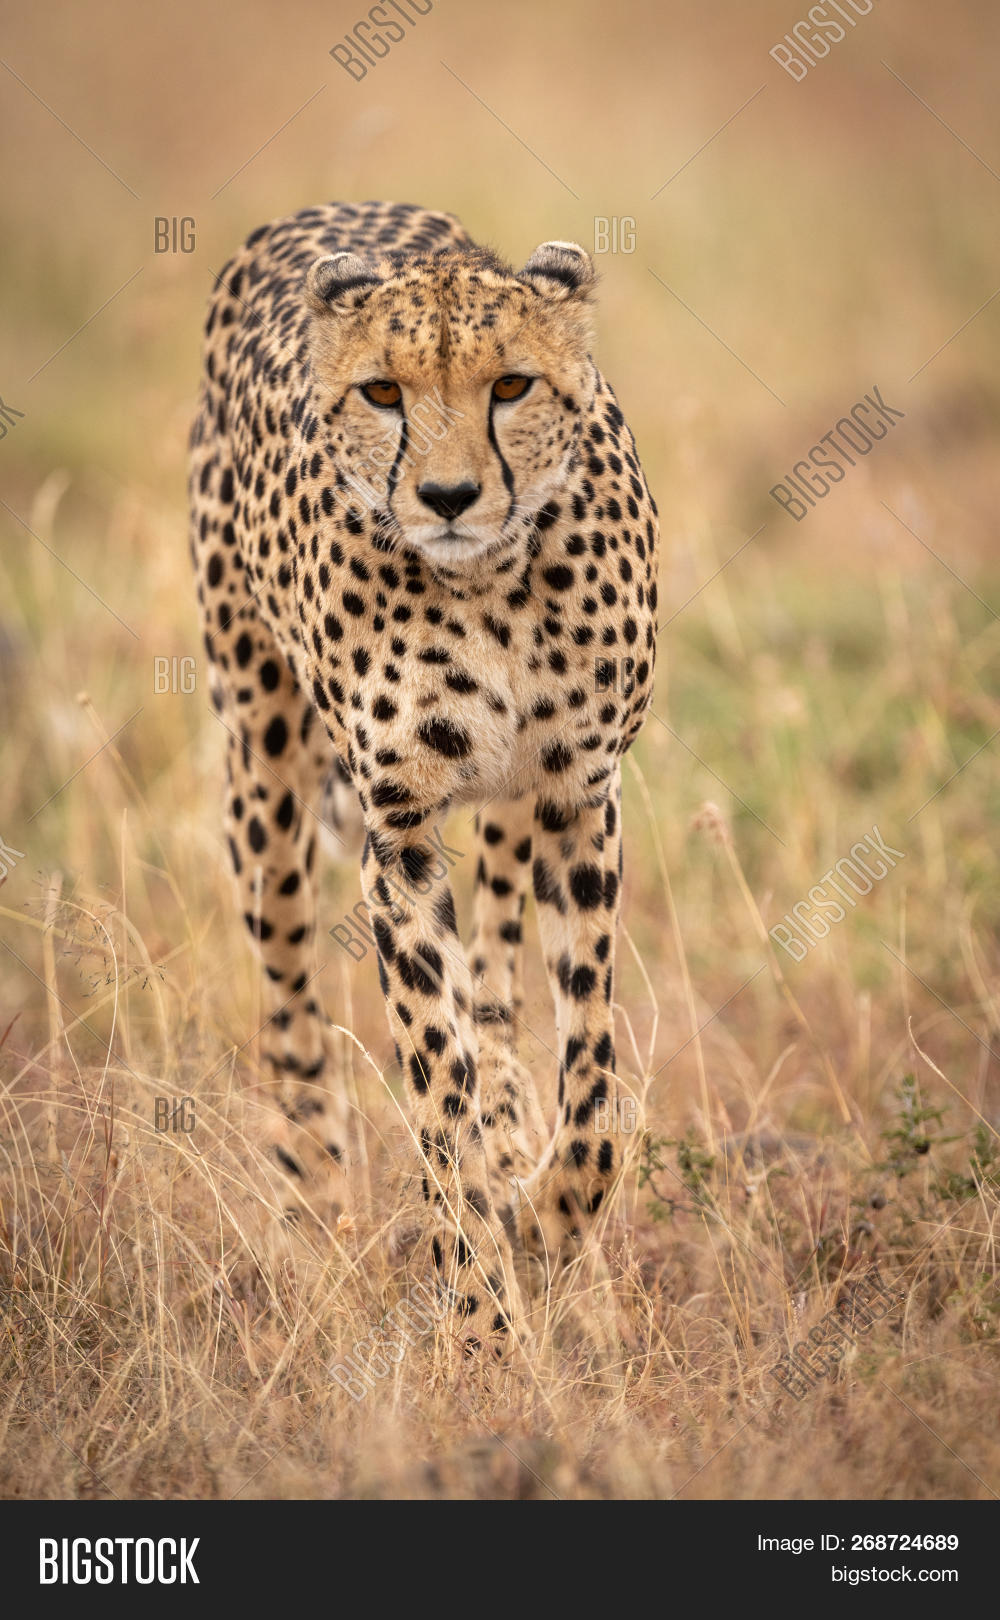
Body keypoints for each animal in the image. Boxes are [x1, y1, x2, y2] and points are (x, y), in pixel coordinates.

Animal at [189, 199, 658, 1357]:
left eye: (511, 385)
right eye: (383, 393)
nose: (448, 495)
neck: (490, 580)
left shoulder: (578, 799)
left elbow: (591, 1079)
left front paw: (548, 1217)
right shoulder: (396, 834)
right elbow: (434, 1079)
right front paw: (482, 1323)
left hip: (502, 815)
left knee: (492, 984)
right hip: (262, 770)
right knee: (291, 1011)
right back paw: (315, 1215)